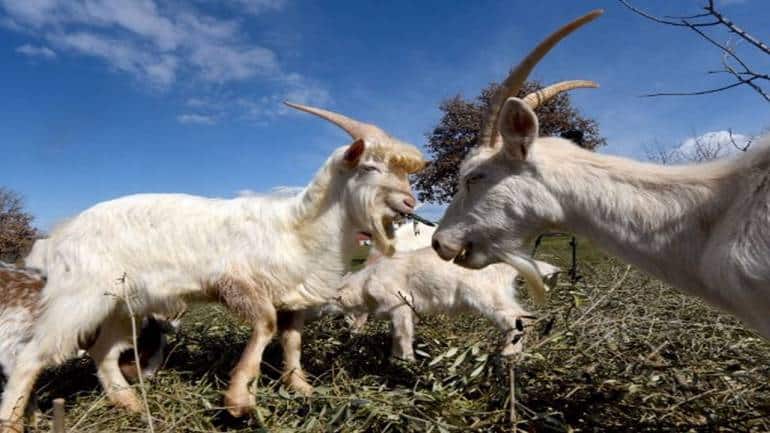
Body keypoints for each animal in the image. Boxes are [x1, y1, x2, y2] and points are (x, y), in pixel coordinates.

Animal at [0, 104, 425, 431]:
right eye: (369, 167)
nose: (409, 202)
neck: (298, 226)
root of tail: (57, 238)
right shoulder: (237, 284)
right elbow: (265, 324)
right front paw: (239, 400)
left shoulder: (292, 296)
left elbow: (291, 341)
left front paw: (301, 387)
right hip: (79, 299)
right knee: (32, 356)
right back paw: (12, 421)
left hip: (121, 304)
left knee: (104, 351)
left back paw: (132, 405)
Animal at [335, 247, 560, 361]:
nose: (347, 330)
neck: (366, 282)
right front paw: (395, 357)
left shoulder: (399, 304)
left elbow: (402, 333)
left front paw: (404, 359)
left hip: (488, 297)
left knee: (520, 318)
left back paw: (508, 352)